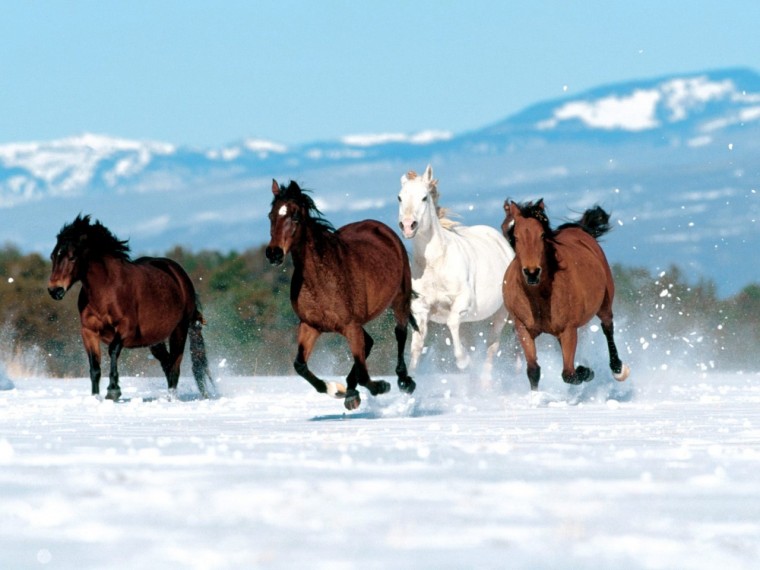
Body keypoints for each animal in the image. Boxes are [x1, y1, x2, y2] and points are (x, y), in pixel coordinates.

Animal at [47, 215, 215, 400]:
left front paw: (113, 390)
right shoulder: (88, 331)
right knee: (167, 364)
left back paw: (172, 398)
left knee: (174, 367)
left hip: (179, 330)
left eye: (72, 257)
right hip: (155, 340)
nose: (55, 290)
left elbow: (113, 350)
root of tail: (180, 275)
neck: (106, 289)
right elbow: (95, 367)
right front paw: (96, 397)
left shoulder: (126, 328)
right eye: (53, 256)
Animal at [266, 180, 416, 411]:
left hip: (400, 299)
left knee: (400, 333)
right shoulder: (310, 326)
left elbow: (364, 374)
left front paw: (381, 386)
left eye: (295, 216)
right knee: (369, 343)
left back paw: (404, 381)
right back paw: (351, 393)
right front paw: (337, 390)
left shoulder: (350, 325)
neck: (321, 280)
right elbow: (300, 365)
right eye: (271, 216)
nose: (273, 254)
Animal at [398, 165, 515, 380]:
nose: (408, 226)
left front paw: (463, 361)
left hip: (501, 314)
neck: (436, 264)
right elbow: (417, 346)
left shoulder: (462, 302)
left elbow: (452, 323)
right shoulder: (421, 309)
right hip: (470, 322)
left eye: (424, 197)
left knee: (491, 347)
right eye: (400, 197)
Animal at [501, 199, 630, 392]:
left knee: (608, 327)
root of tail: (579, 230)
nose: (532, 273)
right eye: (516, 236)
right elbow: (533, 370)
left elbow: (568, 374)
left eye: (542, 235)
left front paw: (586, 371)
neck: (539, 297)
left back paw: (618, 369)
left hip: (604, 303)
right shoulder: (523, 328)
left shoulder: (569, 330)